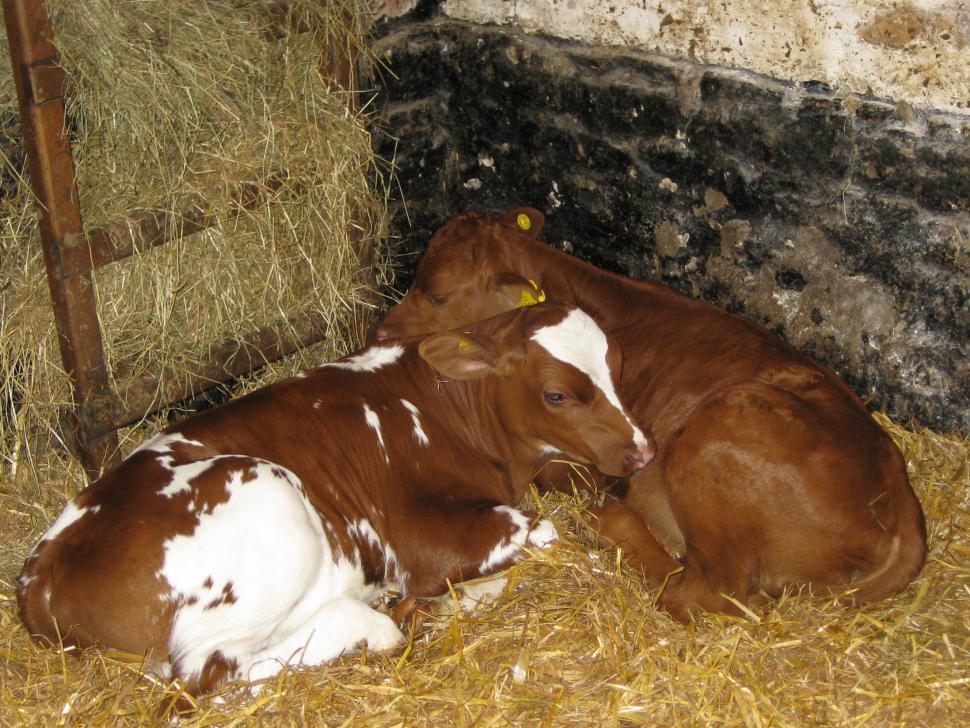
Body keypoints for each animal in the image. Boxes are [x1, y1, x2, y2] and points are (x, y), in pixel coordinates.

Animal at [17, 302, 653, 698]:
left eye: (620, 367)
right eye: (557, 395)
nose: (641, 452)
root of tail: (40, 579)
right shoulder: (422, 540)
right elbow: (548, 534)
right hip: (268, 498)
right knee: (210, 678)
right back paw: (371, 626)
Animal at [372, 207, 928, 623]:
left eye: (438, 293)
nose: (378, 332)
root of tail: (900, 495)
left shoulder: (576, 464)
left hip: (714, 436)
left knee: (702, 592)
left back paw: (614, 522)